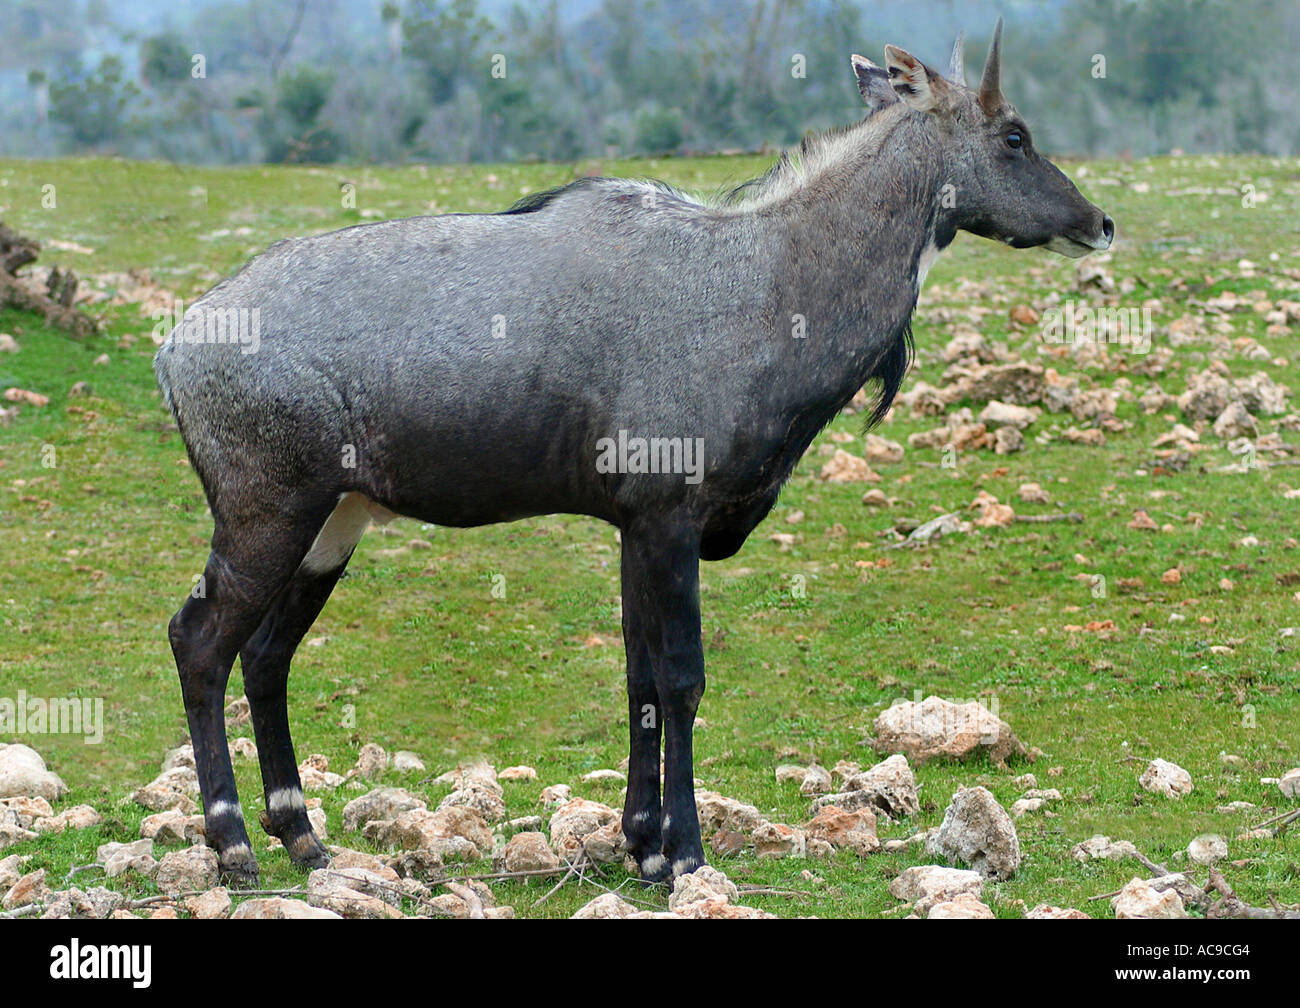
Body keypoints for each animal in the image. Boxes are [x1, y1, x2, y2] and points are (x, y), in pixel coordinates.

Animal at [155, 20, 1112, 885]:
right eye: (1014, 134)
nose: (1098, 223)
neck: (759, 279)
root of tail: (180, 341)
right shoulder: (670, 518)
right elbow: (681, 679)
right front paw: (684, 852)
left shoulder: (635, 525)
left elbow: (639, 680)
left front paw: (642, 844)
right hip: (267, 516)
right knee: (199, 641)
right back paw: (234, 844)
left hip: (335, 525)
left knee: (265, 654)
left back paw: (302, 836)